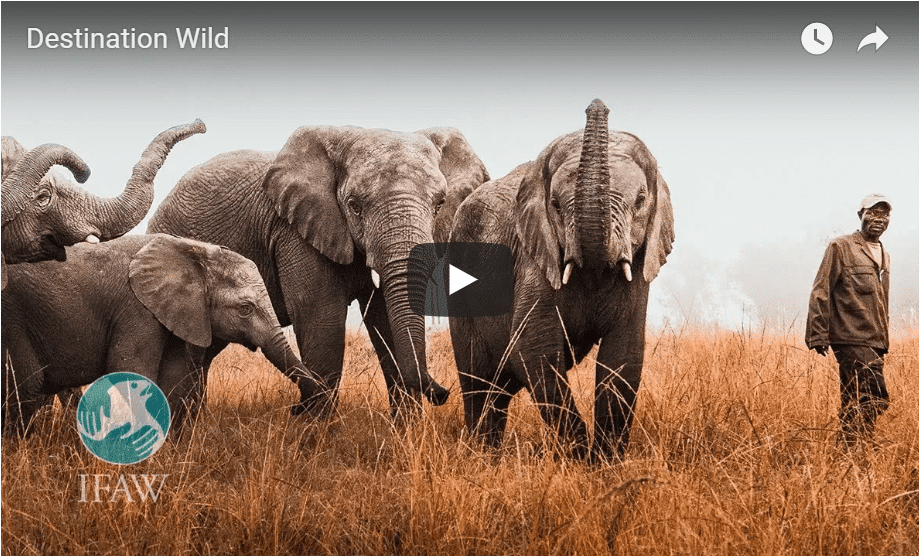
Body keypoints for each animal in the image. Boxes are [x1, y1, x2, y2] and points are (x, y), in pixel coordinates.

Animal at [1, 234, 321, 435]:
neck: (193, 251)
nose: (296, 409)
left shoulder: (178, 310)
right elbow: (131, 368)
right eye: (245, 308)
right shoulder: (136, 308)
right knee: (25, 386)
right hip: (13, 321)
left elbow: (173, 376)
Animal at [148, 125, 490, 417]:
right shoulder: (294, 233)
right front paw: (315, 440)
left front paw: (405, 434)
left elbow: (385, 321)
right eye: (354, 205)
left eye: (440, 204)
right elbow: (322, 321)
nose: (443, 393)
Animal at [448, 100, 674, 460]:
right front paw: (579, 459)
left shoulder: (639, 270)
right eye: (554, 204)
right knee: (478, 382)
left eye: (640, 201)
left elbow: (622, 355)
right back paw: (481, 455)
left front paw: (605, 464)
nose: (597, 104)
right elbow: (534, 347)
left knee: (498, 390)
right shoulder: (533, 259)